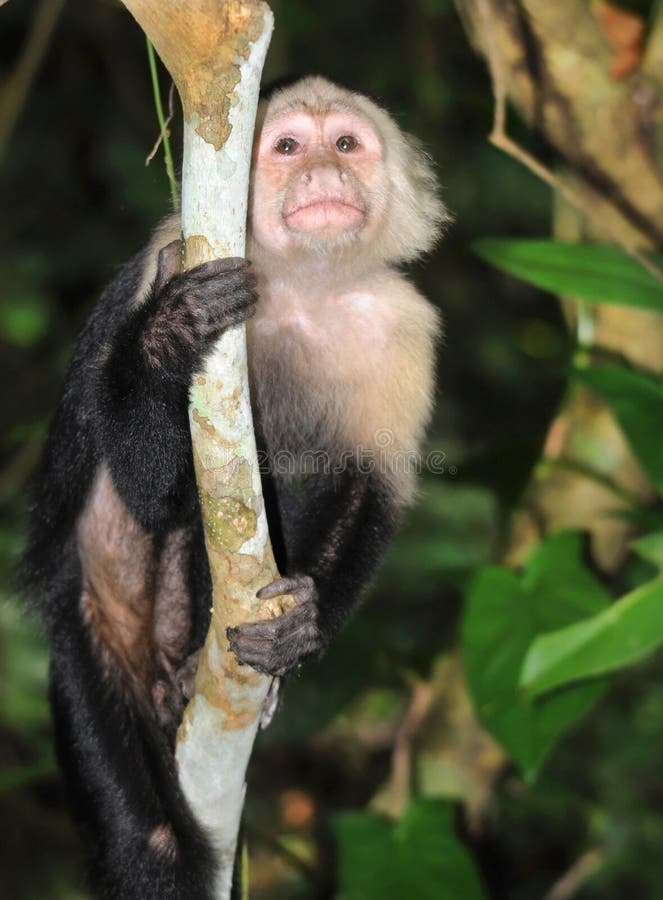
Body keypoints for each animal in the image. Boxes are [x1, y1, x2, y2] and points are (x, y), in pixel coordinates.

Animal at [22, 76, 447, 899]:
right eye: (287, 147)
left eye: (345, 144)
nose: (323, 173)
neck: (305, 286)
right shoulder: (169, 254)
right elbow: (149, 491)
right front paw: (171, 333)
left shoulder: (405, 331)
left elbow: (370, 487)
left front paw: (301, 625)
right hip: (88, 630)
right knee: (151, 843)